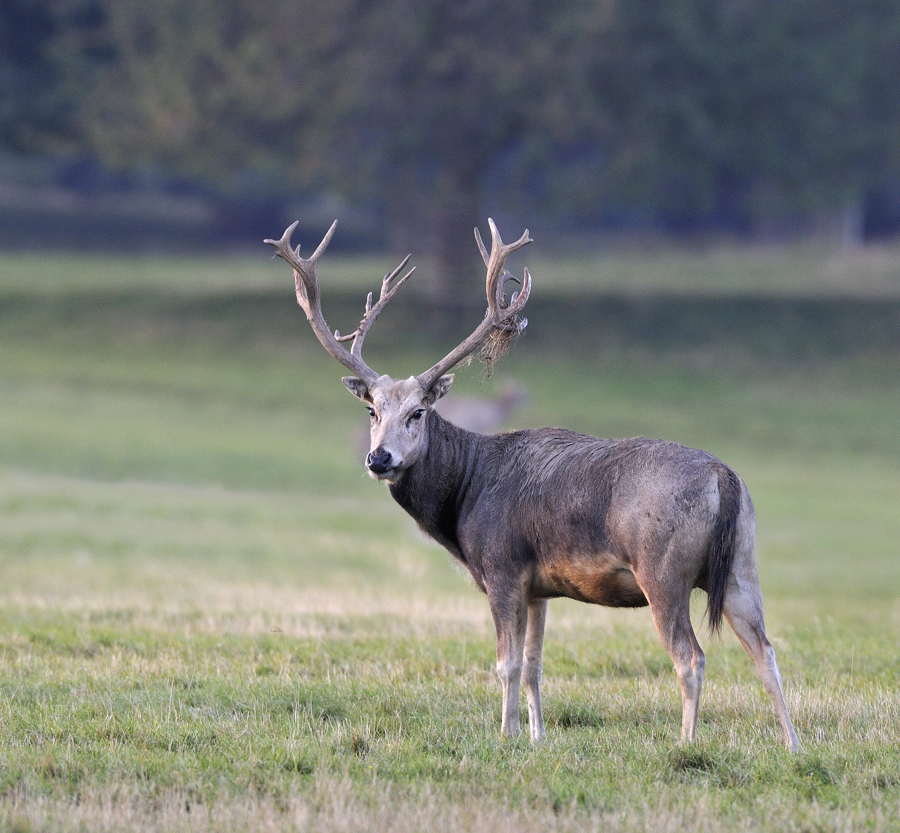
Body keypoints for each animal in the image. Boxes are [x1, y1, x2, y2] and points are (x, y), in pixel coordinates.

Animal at [265, 218, 800, 751]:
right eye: (372, 410)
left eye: (418, 412)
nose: (379, 458)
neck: (466, 495)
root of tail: (724, 479)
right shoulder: (540, 586)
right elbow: (535, 665)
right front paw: (538, 735)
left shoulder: (502, 566)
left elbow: (507, 664)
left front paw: (506, 735)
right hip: (741, 564)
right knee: (766, 652)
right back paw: (792, 743)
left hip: (662, 569)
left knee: (691, 657)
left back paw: (686, 743)